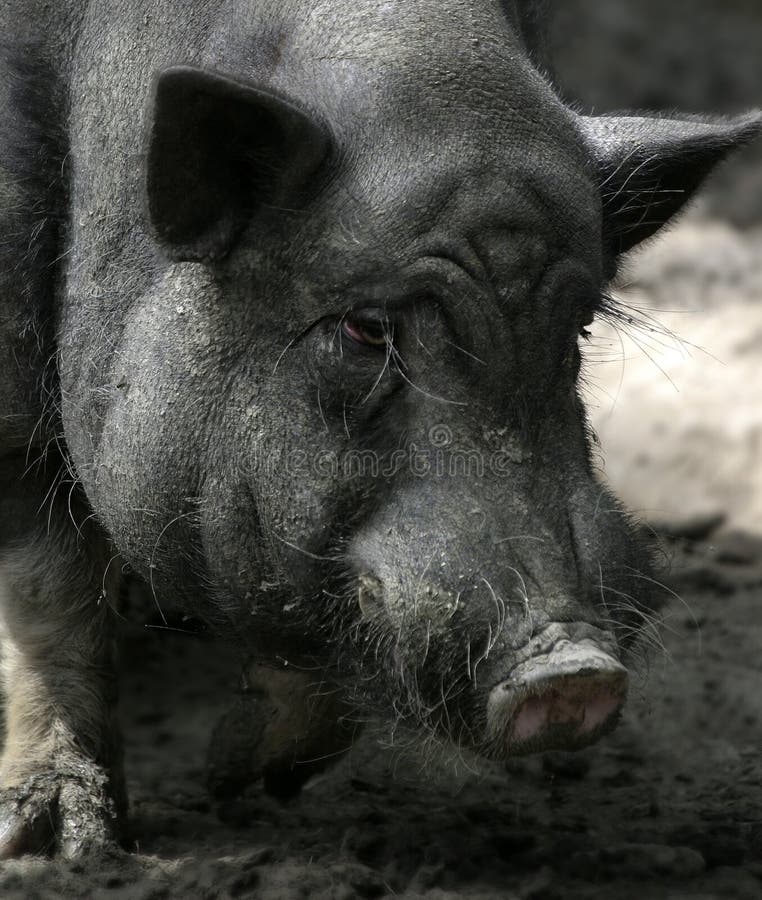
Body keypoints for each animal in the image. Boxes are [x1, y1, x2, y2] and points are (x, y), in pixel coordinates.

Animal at [0, 0, 759, 858]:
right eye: (366, 330)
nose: (572, 673)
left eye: (581, 328)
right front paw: (61, 849)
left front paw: (242, 781)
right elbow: (48, 582)